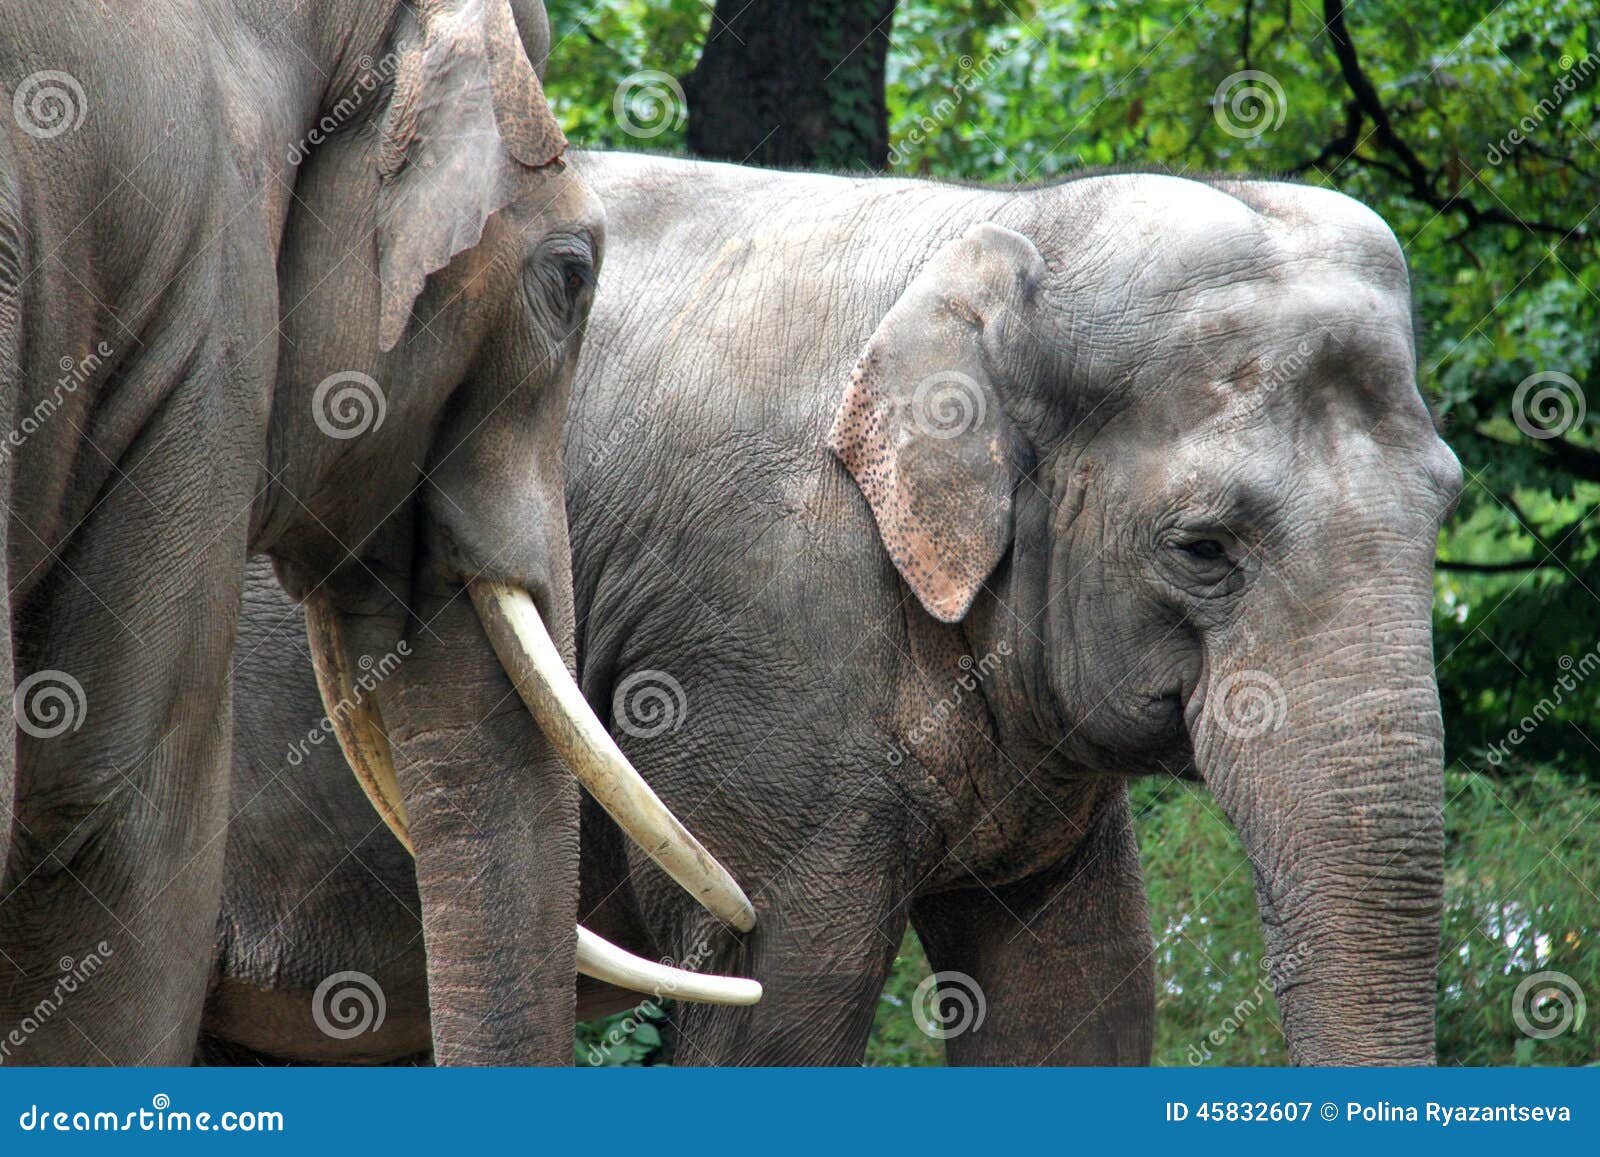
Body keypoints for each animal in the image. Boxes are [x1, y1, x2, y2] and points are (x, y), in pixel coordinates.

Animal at [203, 149, 1462, 1065]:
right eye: (1202, 547)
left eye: (1445, 502)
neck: (995, 232)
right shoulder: (755, 639)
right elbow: (786, 988)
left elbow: (1078, 991)